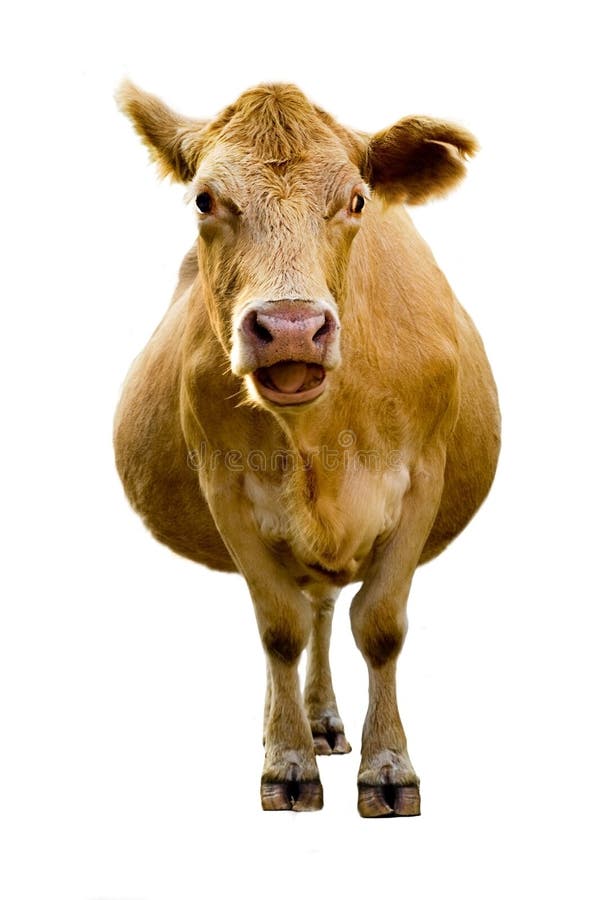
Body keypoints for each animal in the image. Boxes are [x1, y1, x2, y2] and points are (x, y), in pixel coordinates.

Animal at [114, 81, 500, 817]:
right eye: (205, 199)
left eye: (356, 200)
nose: (291, 327)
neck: (322, 437)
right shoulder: (226, 492)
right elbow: (278, 629)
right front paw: (287, 763)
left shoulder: (421, 481)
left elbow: (378, 624)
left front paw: (388, 769)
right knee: (295, 618)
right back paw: (289, 728)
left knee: (322, 606)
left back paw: (322, 722)